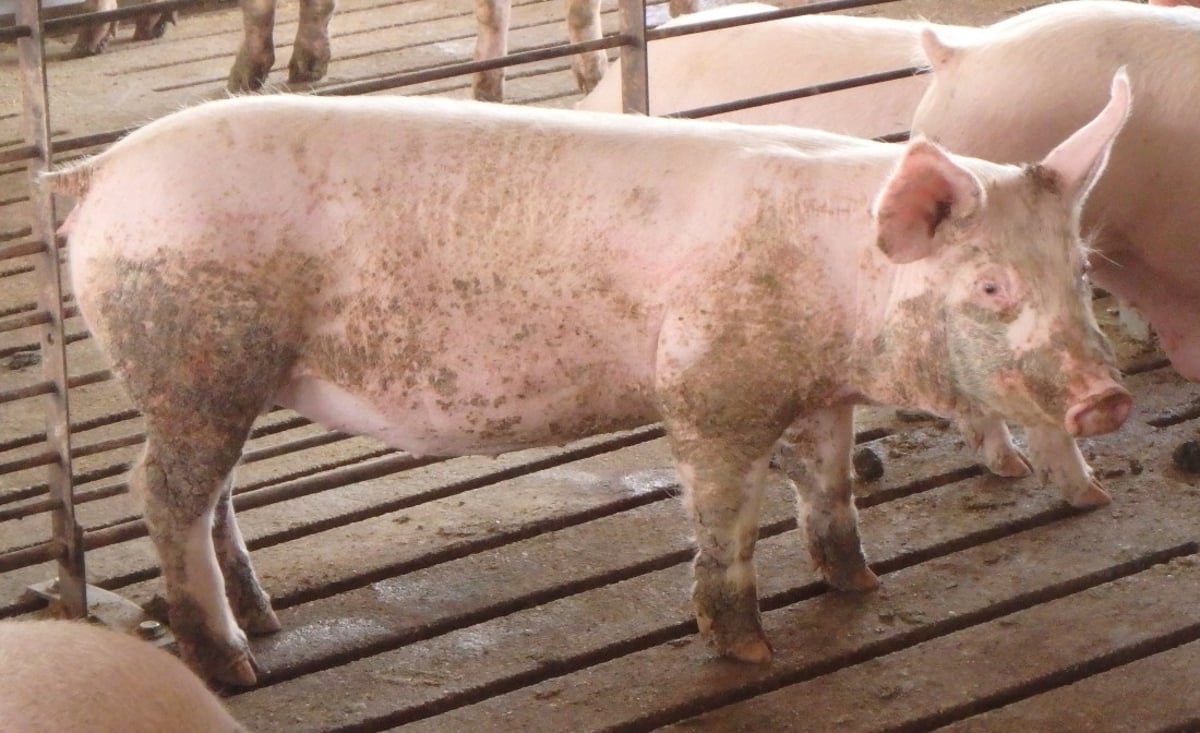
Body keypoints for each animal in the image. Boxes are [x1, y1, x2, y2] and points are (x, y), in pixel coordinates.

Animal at [42, 75, 1131, 685]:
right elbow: (726, 520)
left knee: (210, 494)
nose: (1108, 397)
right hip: (196, 359)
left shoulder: (818, 393)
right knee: (163, 494)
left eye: (1081, 271)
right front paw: (749, 651)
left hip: (211, 381)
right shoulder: (709, 388)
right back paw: (232, 661)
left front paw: (862, 584)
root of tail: (94, 177)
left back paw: (265, 619)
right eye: (989, 284)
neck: (839, 292)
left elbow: (828, 491)